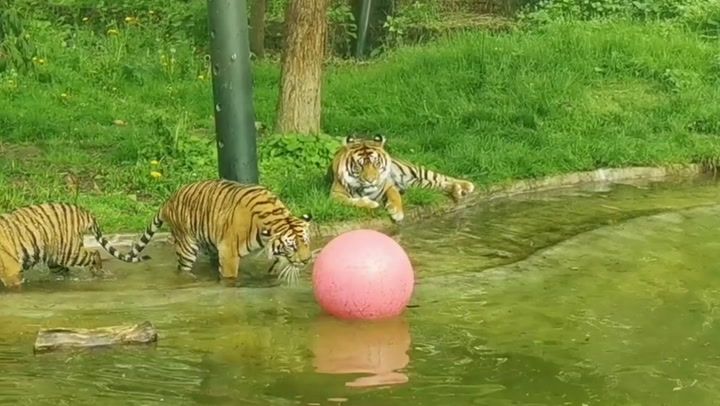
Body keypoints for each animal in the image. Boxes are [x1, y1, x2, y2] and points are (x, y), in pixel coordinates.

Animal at [0, 203, 150, 289]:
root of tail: (83, 211)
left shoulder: (12, 270)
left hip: (69, 252)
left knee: (94, 253)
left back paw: (97, 272)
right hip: (55, 259)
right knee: (66, 271)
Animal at [124, 179, 313, 284]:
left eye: (306, 243)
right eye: (292, 246)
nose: (307, 261)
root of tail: (169, 200)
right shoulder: (229, 253)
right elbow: (230, 277)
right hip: (187, 246)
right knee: (182, 269)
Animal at [329, 133, 475, 222]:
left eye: (376, 163)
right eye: (360, 165)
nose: (371, 180)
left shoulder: (389, 185)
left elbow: (395, 196)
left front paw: (397, 213)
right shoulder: (335, 195)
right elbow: (352, 202)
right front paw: (371, 204)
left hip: (416, 172)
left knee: (441, 177)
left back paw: (467, 185)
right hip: (418, 184)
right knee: (438, 184)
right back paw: (456, 190)